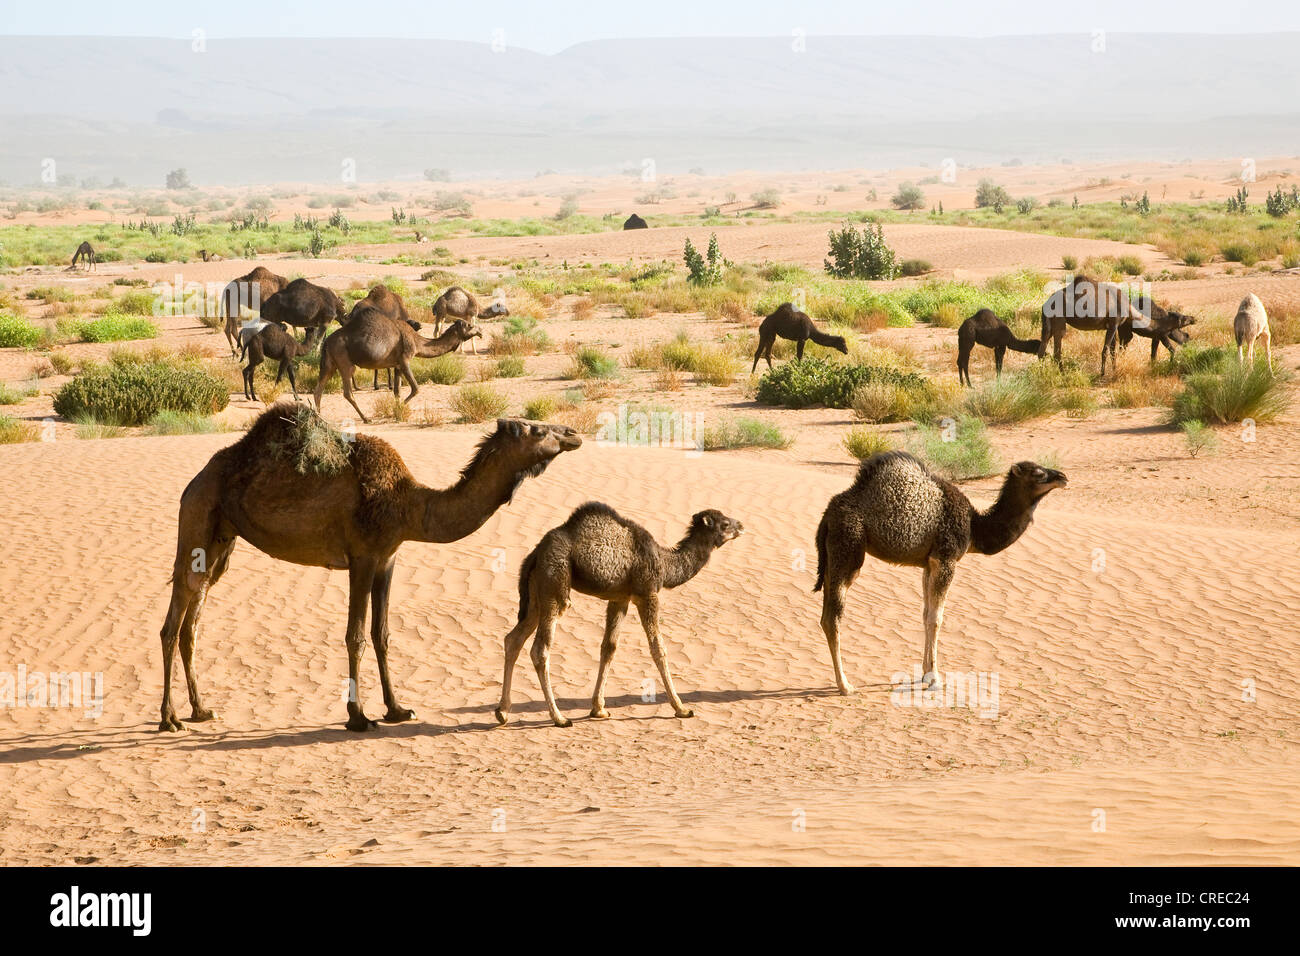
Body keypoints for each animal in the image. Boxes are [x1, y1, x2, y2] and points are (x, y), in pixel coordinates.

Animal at [158, 406, 582, 732]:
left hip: (221, 540)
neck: (408, 504)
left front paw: (397, 709)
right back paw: (170, 718)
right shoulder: (360, 557)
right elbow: (356, 636)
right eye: (537, 428)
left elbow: (383, 634)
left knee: (193, 618)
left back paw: (200, 710)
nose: (574, 433)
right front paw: (358, 716)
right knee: (172, 621)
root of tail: (194, 481)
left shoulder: (387, 558)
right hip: (197, 516)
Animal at [314, 305, 481, 423]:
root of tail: (327, 341)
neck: (417, 341)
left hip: (330, 363)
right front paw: (398, 411)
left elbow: (397, 391)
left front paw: (396, 412)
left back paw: (320, 418)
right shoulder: (405, 360)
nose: (480, 331)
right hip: (344, 360)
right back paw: (366, 419)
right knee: (347, 392)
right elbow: (416, 389)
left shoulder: (397, 365)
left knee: (318, 389)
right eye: (469, 326)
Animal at [495, 503, 743, 727]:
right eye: (724, 523)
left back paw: (503, 712)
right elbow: (658, 648)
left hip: (537, 590)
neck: (664, 563)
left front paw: (599, 709)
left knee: (513, 639)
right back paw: (559, 718)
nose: (741, 525)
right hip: (555, 580)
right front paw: (681, 708)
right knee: (540, 649)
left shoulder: (620, 598)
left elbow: (609, 648)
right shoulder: (647, 593)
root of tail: (536, 553)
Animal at [814, 451, 1066, 693]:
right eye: (1038, 473)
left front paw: (926, 673)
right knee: (833, 617)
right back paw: (845, 686)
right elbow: (937, 618)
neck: (975, 527)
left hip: (831, 556)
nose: (1063, 477)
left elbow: (926, 615)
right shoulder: (945, 559)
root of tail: (827, 516)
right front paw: (935, 679)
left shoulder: (928, 564)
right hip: (848, 545)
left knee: (826, 613)